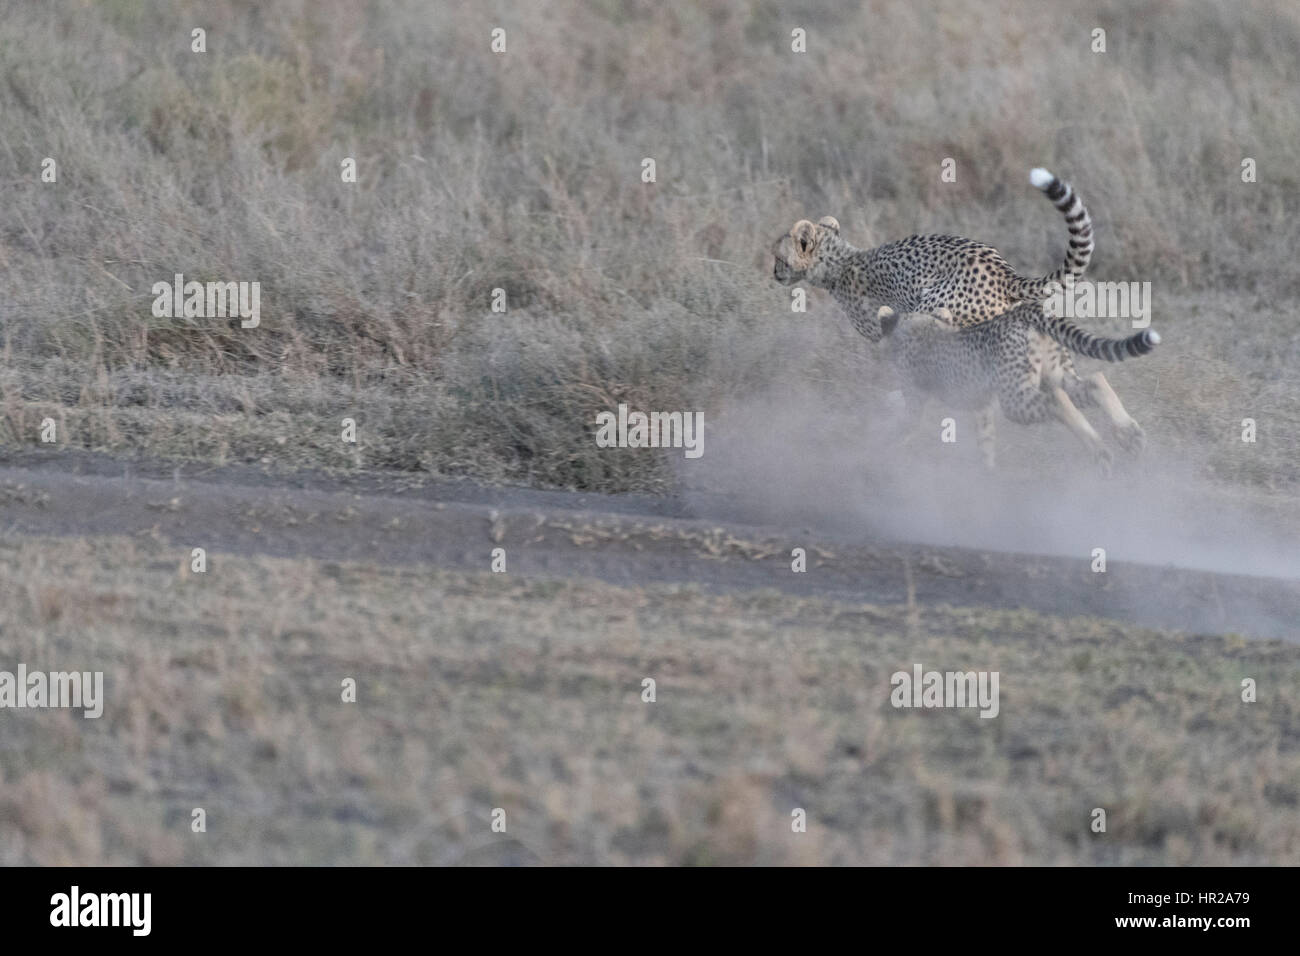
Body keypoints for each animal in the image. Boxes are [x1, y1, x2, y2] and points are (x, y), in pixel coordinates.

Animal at [875, 302, 1160, 475]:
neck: (917, 323)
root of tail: (1028, 308)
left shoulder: (915, 401)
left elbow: (900, 426)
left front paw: (874, 451)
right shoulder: (981, 405)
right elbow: (986, 440)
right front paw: (987, 475)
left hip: (1015, 397)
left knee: (1057, 398)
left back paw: (1100, 451)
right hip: (1057, 374)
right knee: (1095, 381)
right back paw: (1130, 434)